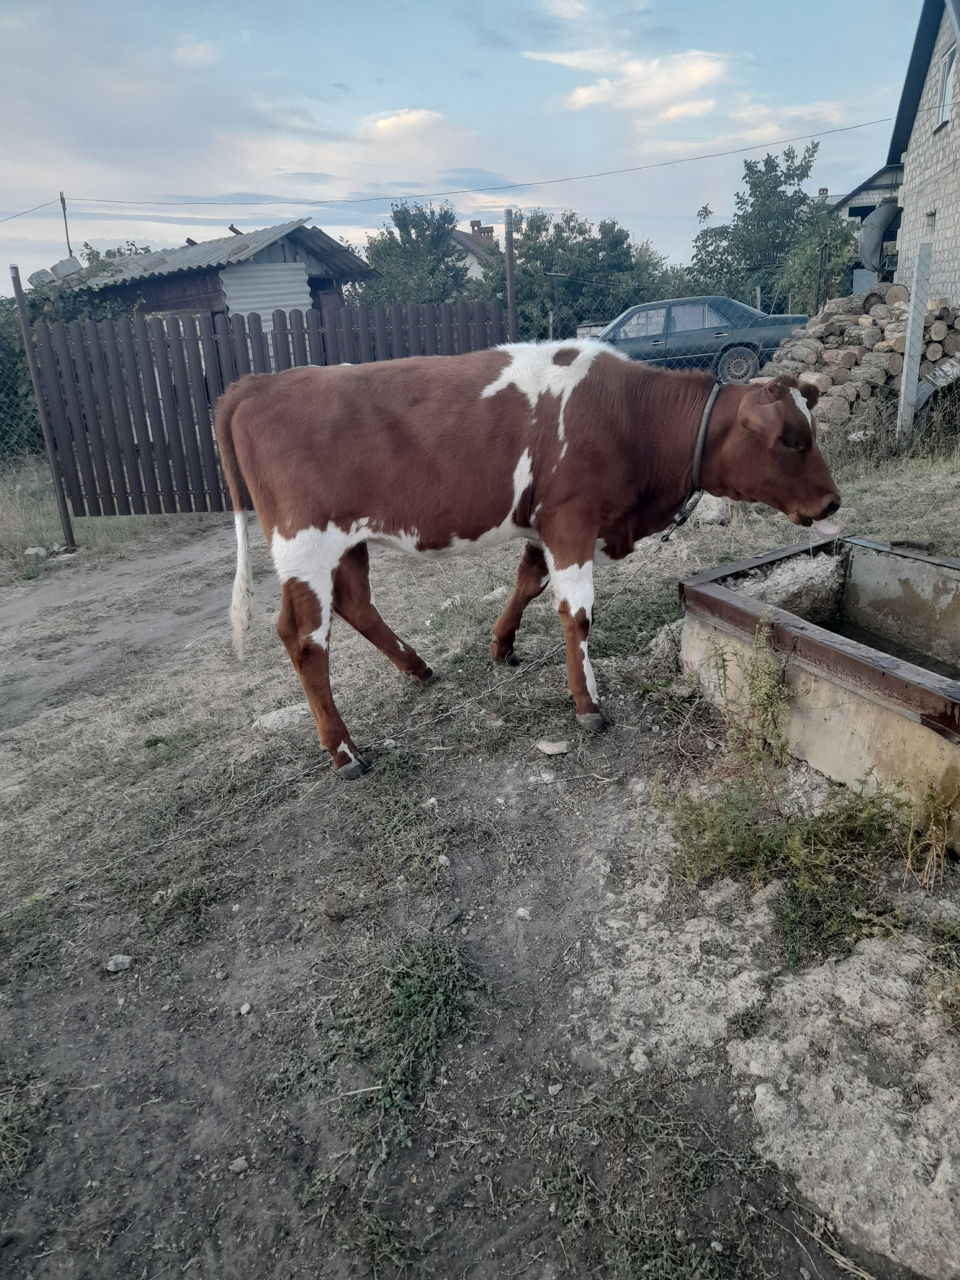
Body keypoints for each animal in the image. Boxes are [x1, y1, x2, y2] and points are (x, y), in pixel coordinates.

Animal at [215, 341, 840, 778]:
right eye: (790, 440)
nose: (833, 502)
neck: (630, 415)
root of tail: (256, 383)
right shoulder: (571, 516)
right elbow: (577, 612)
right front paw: (587, 703)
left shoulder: (546, 521)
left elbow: (530, 581)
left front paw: (501, 644)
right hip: (305, 545)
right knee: (304, 638)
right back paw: (344, 752)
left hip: (347, 542)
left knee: (355, 602)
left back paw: (418, 669)